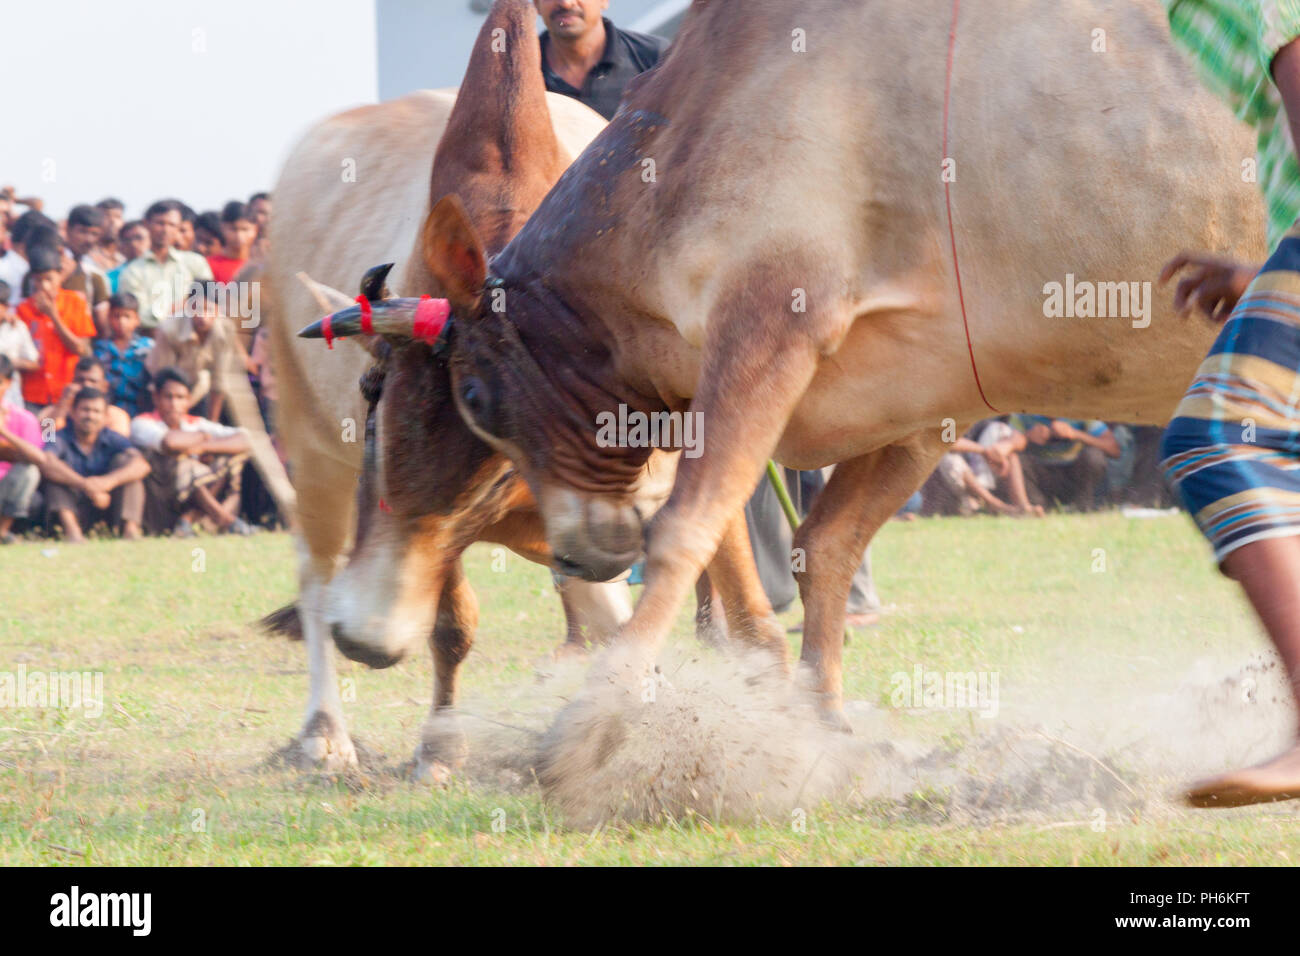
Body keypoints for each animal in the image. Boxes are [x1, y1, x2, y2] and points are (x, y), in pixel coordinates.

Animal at [310, 0, 1267, 757]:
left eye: (474, 399)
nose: (581, 554)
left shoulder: (769, 329)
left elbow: (687, 531)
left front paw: (591, 727)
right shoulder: (923, 407)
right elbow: (817, 545)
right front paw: (814, 722)